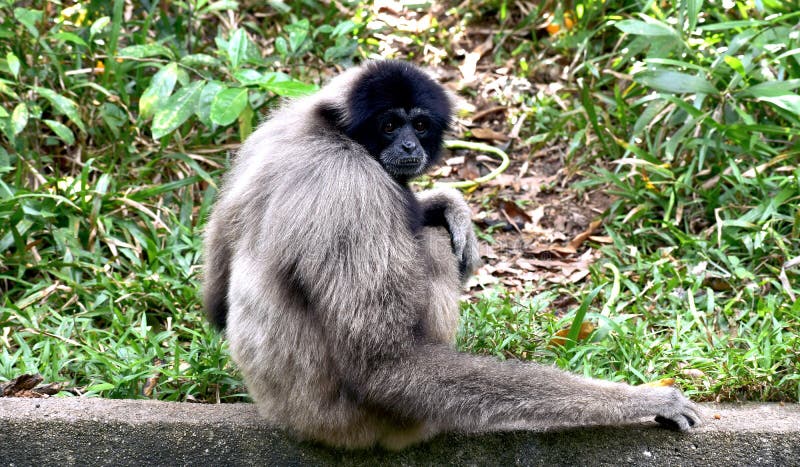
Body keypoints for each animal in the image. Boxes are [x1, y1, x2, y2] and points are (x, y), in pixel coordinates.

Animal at [202, 60, 701, 449]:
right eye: (390, 125)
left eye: (420, 125)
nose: (408, 146)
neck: (327, 133)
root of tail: (286, 416)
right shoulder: (352, 187)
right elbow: (388, 365)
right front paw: (645, 400)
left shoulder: (269, 133)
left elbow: (214, 303)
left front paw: (447, 203)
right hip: (370, 424)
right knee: (435, 249)